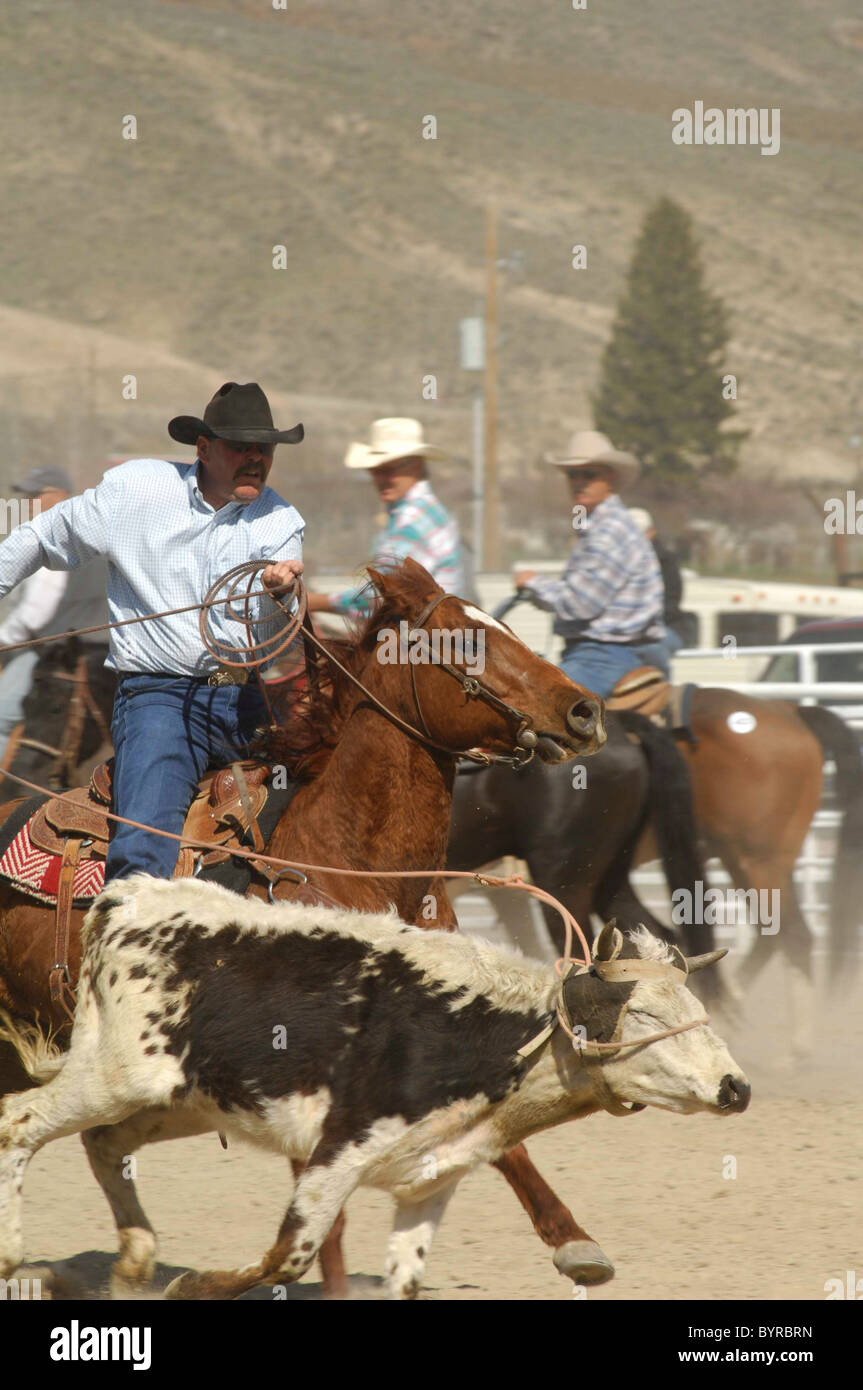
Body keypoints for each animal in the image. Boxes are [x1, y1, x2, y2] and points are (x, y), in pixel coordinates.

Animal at [0, 557, 610, 1295]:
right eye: (467, 639)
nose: (584, 711)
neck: (351, 860)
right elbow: (327, 1220)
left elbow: (498, 1141)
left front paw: (575, 1242)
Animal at [0, 875, 750, 1300]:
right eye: (645, 1015)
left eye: (692, 1006)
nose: (735, 1088)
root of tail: (124, 899)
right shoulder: (340, 1150)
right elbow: (288, 1256)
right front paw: (191, 1287)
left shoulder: (429, 1180)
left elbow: (404, 1280)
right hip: (118, 1075)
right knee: (19, 1120)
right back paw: (17, 1258)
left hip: (176, 1102)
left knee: (104, 1143)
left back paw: (131, 1266)